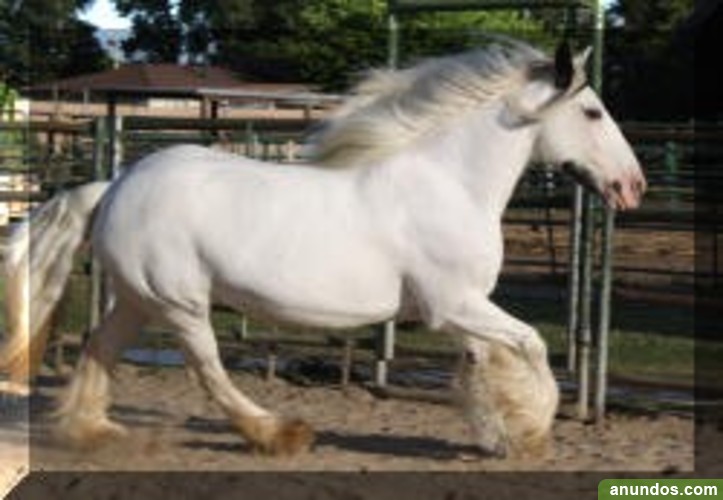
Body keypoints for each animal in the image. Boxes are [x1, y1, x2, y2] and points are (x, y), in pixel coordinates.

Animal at [0, 40, 645, 458]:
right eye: (592, 111)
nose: (632, 186)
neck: (450, 182)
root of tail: (114, 185)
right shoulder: (453, 304)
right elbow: (531, 345)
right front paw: (532, 433)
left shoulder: (466, 307)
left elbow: (485, 364)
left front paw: (499, 434)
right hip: (179, 303)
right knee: (208, 370)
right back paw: (278, 435)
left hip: (138, 299)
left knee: (99, 348)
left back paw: (91, 433)